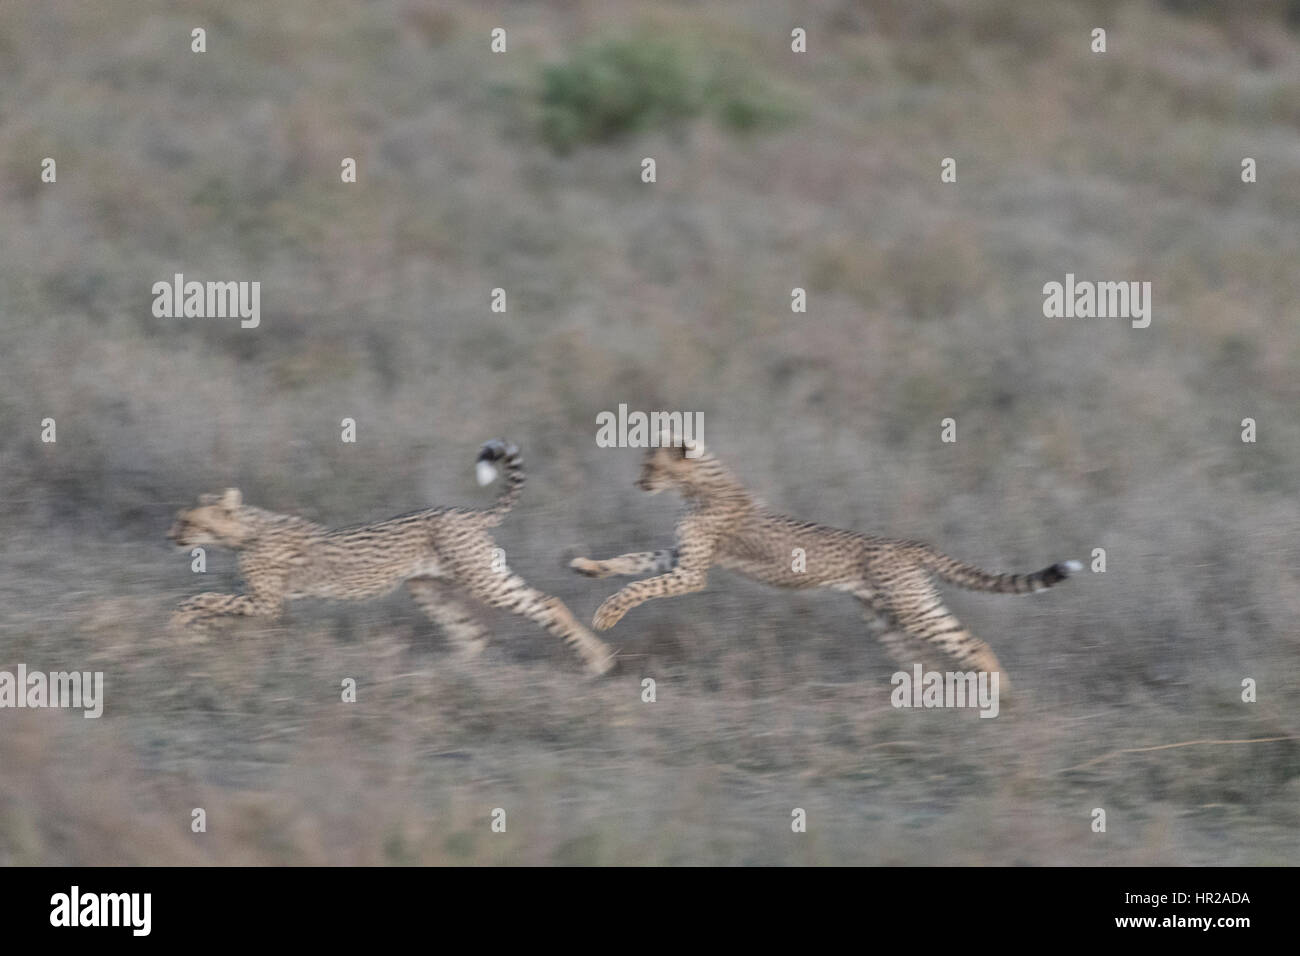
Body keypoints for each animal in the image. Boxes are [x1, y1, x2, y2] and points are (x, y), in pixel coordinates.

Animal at [168, 440, 615, 676]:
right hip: (428, 588)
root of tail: (463, 511)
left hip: (482, 580)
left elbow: (207, 598)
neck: (247, 530)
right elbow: (213, 603)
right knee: (471, 634)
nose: (170, 535)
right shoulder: (263, 602)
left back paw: (597, 660)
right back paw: (447, 675)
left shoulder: (266, 603)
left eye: (187, 520)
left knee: (547, 602)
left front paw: (182, 619)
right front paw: (193, 631)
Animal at [571, 433, 1080, 692]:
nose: (638, 483)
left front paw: (607, 613)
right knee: (927, 660)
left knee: (970, 643)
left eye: (651, 466)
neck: (699, 485)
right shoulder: (677, 556)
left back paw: (999, 692)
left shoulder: (692, 570)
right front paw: (587, 567)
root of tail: (907, 542)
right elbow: (632, 562)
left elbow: (641, 586)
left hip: (911, 608)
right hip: (885, 618)